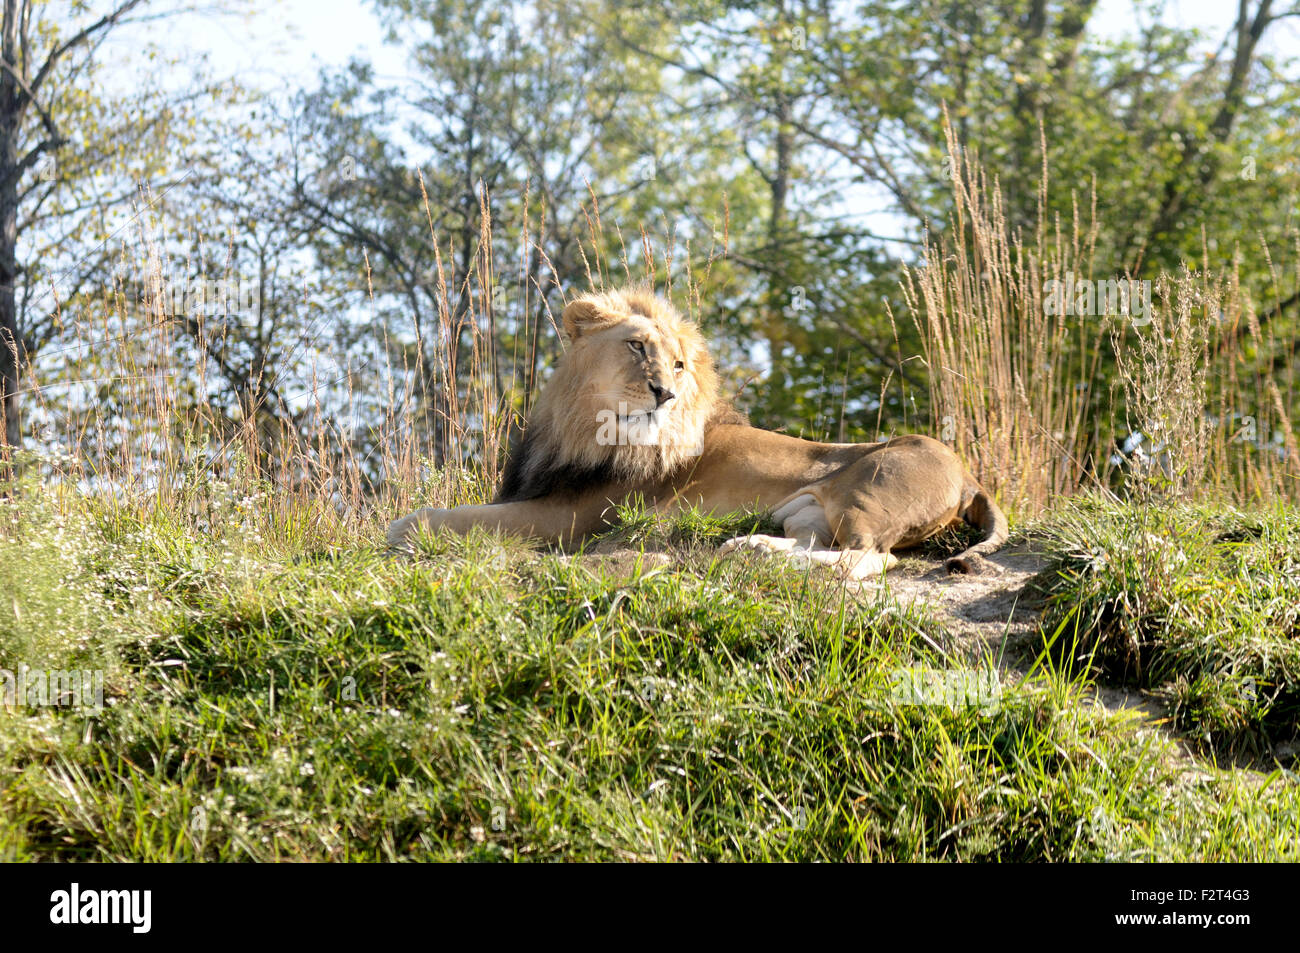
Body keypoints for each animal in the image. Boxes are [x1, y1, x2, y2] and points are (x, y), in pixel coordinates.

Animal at [387, 286, 1008, 579]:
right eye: (637, 346)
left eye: (680, 365)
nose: (665, 393)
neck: (577, 426)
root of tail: (972, 477)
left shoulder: (569, 516)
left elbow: (455, 518)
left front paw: (403, 528)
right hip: (805, 510)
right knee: (819, 543)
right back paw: (751, 547)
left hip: (868, 494)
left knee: (869, 560)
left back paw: (753, 555)